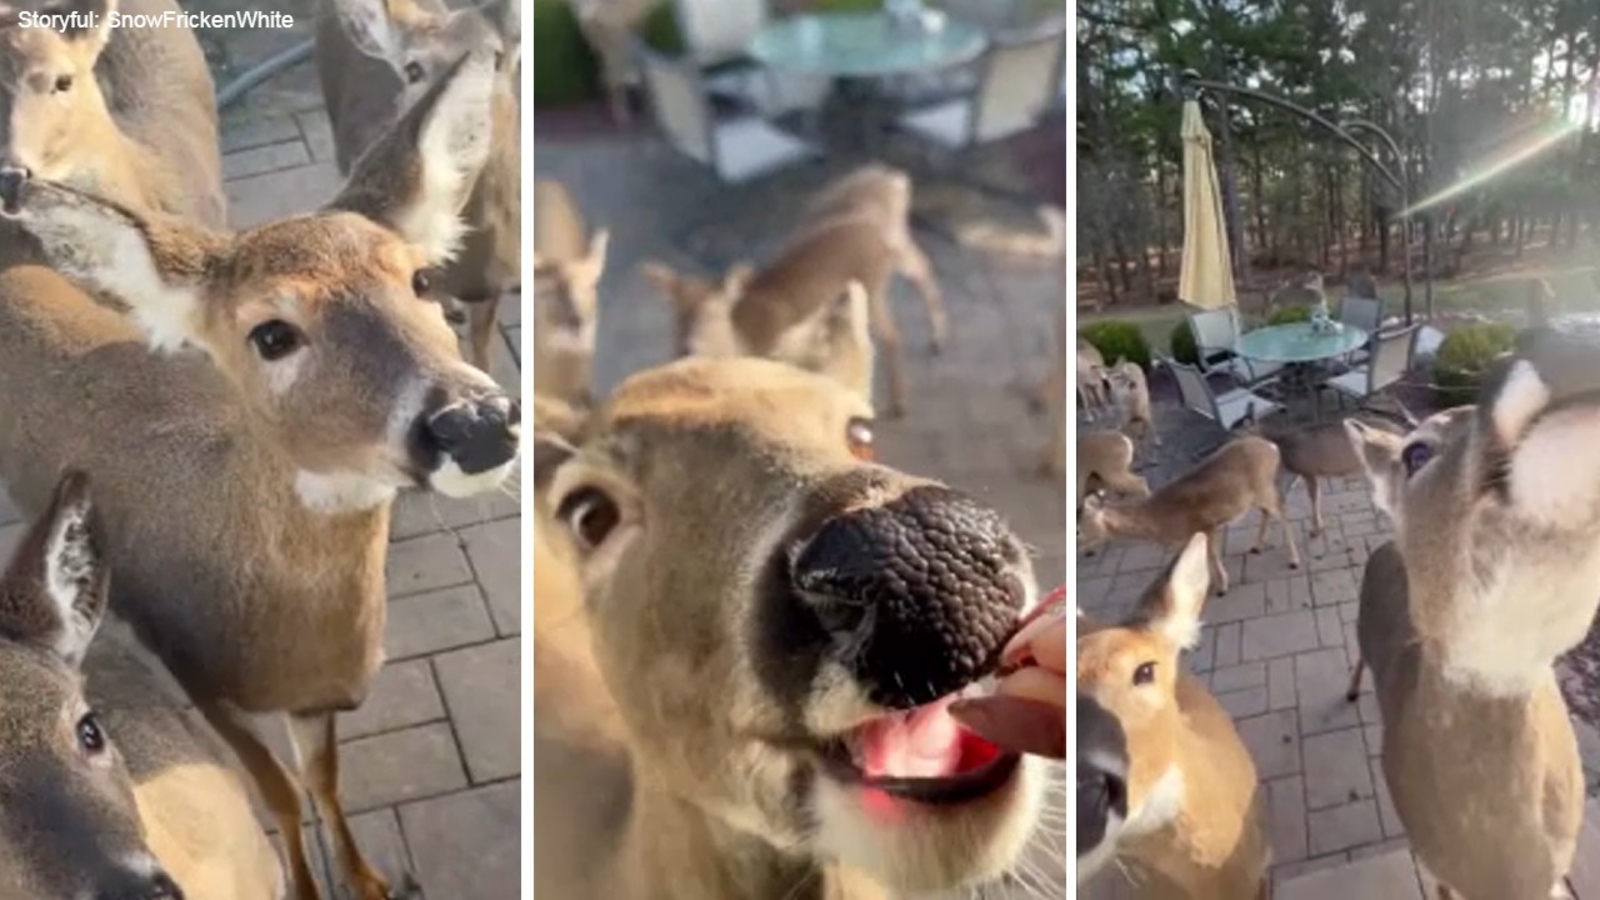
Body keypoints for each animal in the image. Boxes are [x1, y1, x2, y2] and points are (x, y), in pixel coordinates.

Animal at [642, 165, 945, 419]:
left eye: (714, 311)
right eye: (674, 311)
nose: (684, 349)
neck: (744, 340)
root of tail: (896, 180)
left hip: (874, 286)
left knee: (892, 333)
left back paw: (899, 402)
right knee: (922, 267)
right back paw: (935, 340)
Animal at [1078, 436, 1301, 595]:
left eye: (1077, 530)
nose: (1083, 551)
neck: (1161, 518)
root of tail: (1273, 448)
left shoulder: (1206, 525)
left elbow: (1211, 555)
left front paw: (1222, 587)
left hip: (1264, 487)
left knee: (1282, 510)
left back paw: (1293, 560)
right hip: (1254, 496)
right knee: (1267, 512)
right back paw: (1257, 546)